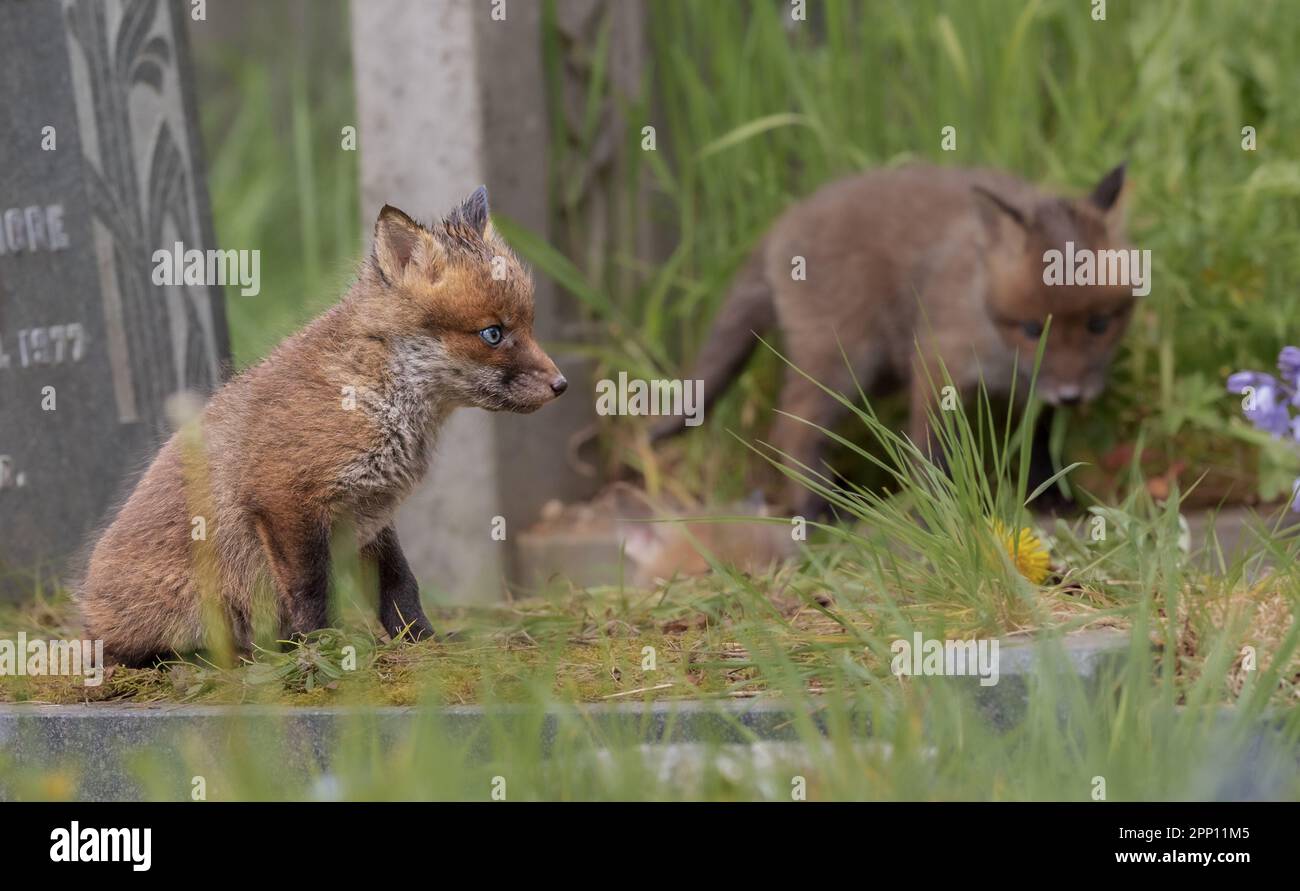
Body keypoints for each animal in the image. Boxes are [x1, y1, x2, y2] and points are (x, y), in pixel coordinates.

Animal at [78, 187, 567, 666]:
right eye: (493, 334)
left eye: (529, 325)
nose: (562, 384)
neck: (377, 395)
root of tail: (85, 615)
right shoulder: (287, 498)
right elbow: (312, 592)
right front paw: (324, 653)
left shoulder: (369, 514)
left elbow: (400, 587)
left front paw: (423, 642)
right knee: (135, 654)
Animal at [653, 163, 1136, 517]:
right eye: (1034, 329)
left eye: (1099, 324)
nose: (1073, 395)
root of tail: (781, 223)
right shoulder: (937, 364)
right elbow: (932, 447)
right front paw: (942, 508)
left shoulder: (1032, 393)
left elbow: (1036, 447)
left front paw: (1051, 500)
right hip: (843, 361)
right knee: (794, 426)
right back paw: (818, 510)